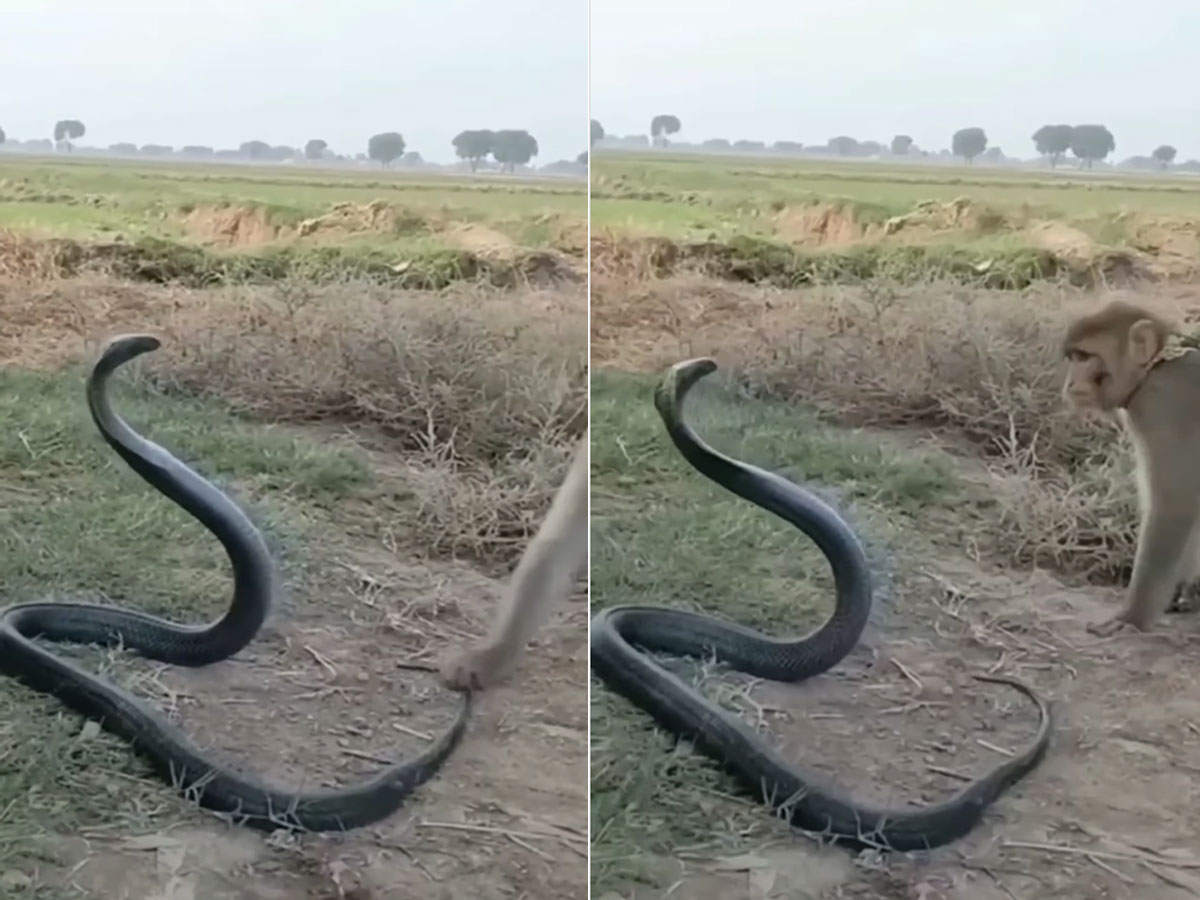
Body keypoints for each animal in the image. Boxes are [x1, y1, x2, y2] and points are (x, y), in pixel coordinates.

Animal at [1061, 299, 1200, 636]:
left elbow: (1174, 504)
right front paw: (1183, 592)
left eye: (1084, 357)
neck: (1155, 368)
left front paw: (1133, 616)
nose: (1069, 383)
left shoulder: (1164, 408)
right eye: (1073, 358)